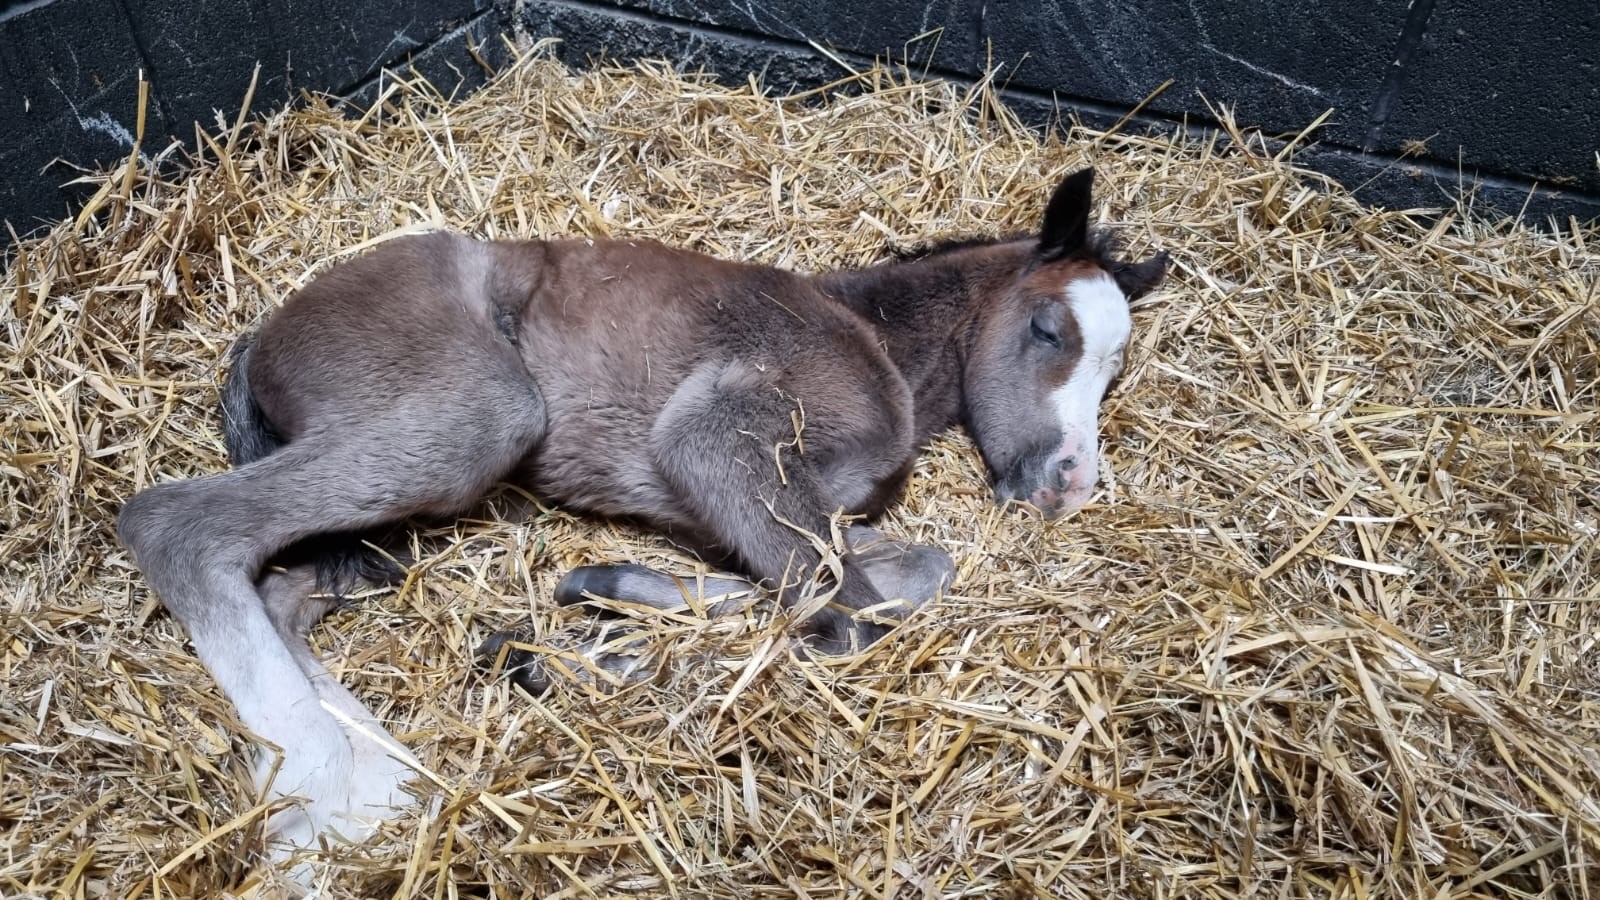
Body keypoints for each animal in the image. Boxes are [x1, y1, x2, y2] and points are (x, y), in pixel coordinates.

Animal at [115, 167, 1167, 861]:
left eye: (1118, 367)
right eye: (1048, 330)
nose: (1071, 480)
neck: (874, 343)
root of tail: (263, 334)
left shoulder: (761, 506)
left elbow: (885, 577)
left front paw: (594, 606)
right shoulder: (718, 439)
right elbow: (845, 612)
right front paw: (591, 652)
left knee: (285, 589)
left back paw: (380, 771)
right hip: (474, 415)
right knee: (179, 526)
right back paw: (334, 798)